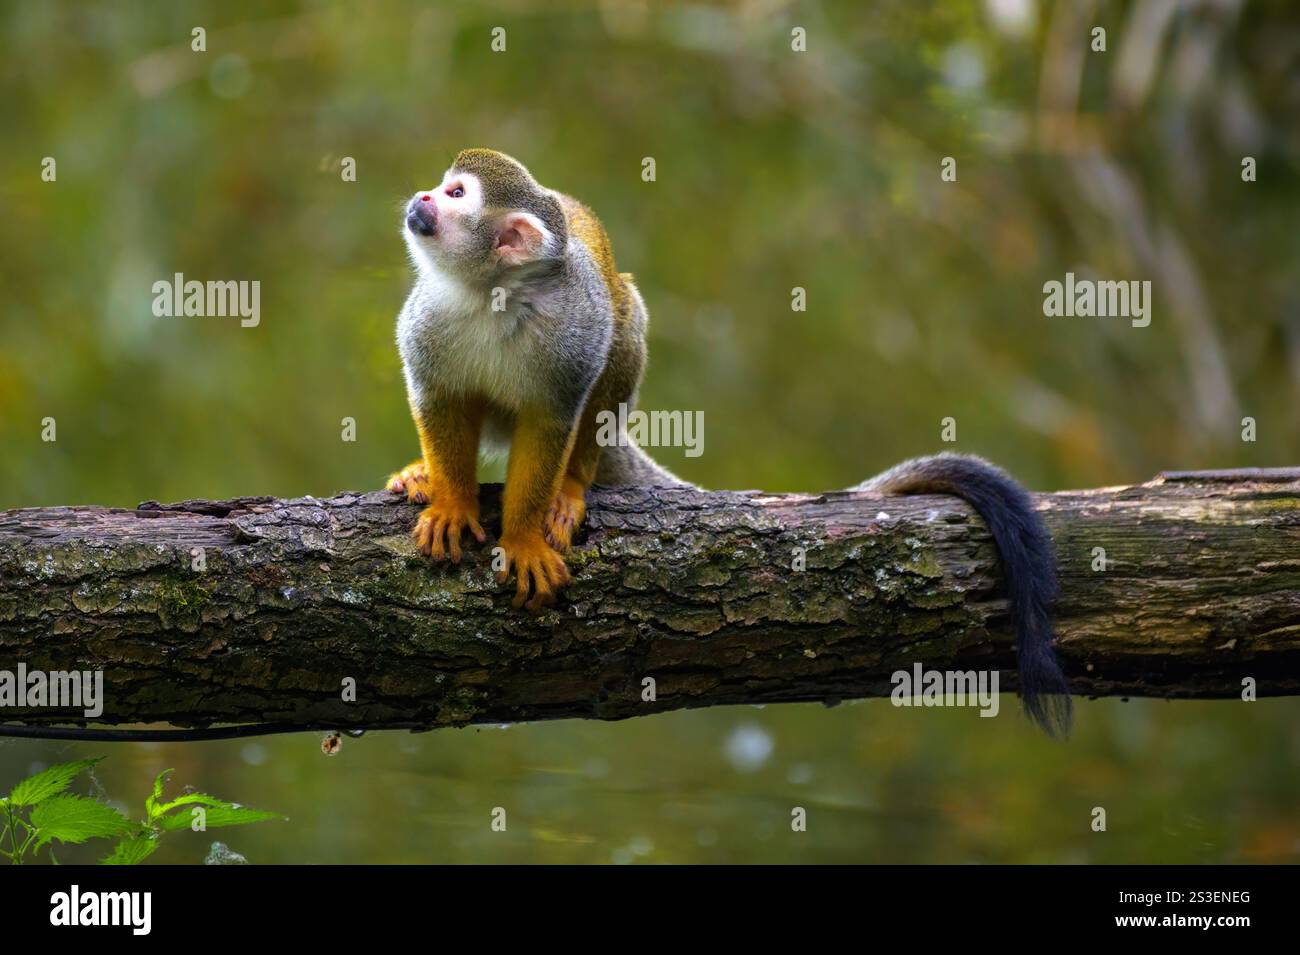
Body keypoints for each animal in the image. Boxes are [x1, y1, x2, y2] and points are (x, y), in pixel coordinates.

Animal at [387, 148, 1071, 736]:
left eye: (455, 194)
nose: (420, 197)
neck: (493, 294)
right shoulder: (431, 314)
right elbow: (437, 396)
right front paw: (453, 502)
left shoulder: (573, 325)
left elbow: (556, 417)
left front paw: (526, 533)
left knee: (625, 320)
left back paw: (573, 487)